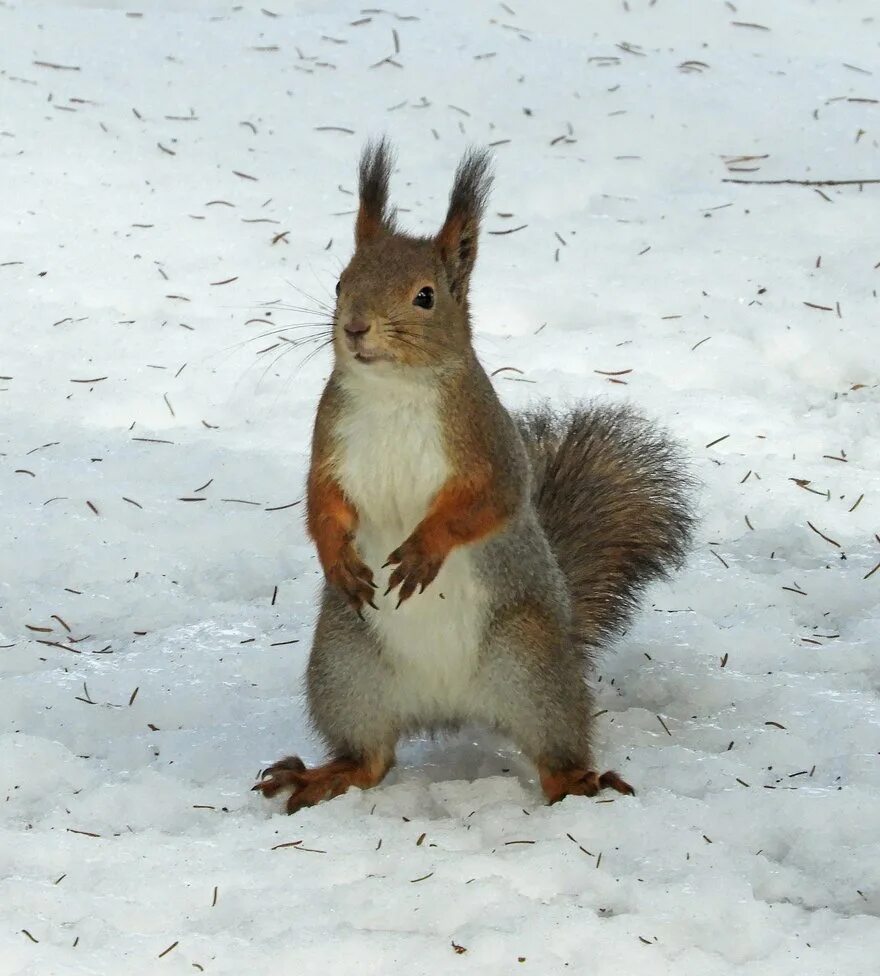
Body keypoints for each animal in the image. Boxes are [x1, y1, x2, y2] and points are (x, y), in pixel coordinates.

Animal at [254, 135, 696, 808]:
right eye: (339, 282)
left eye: (425, 296)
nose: (354, 328)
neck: (393, 391)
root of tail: (449, 706)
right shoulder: (327, 441)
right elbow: (320, 501)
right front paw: (337, 557)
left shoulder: (489, 447)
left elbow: (489, 503)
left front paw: (423, 550)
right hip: (345, 671)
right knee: (371, 758)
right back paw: (323, 774)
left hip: (531, 667)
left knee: (554, 751)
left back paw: (582, 782)